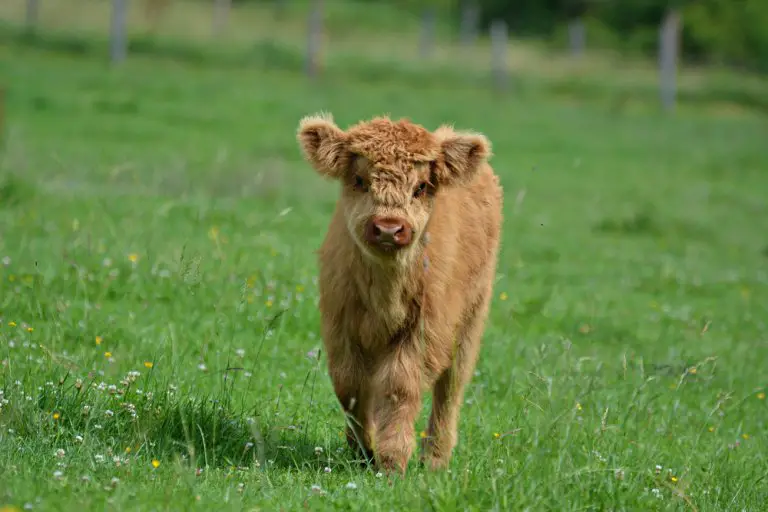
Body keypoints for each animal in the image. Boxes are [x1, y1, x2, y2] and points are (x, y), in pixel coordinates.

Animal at [296, 113, 503, 475]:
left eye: (420, 187)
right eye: (360, 180)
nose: (389, 228)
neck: (385, 292)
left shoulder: (424, 332)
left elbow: (399, 387)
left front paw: (392, 460)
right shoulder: (340, 327)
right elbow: (350, 386)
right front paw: (364, 450)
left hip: (470, 321)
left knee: (450, 389)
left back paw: (435, 459)